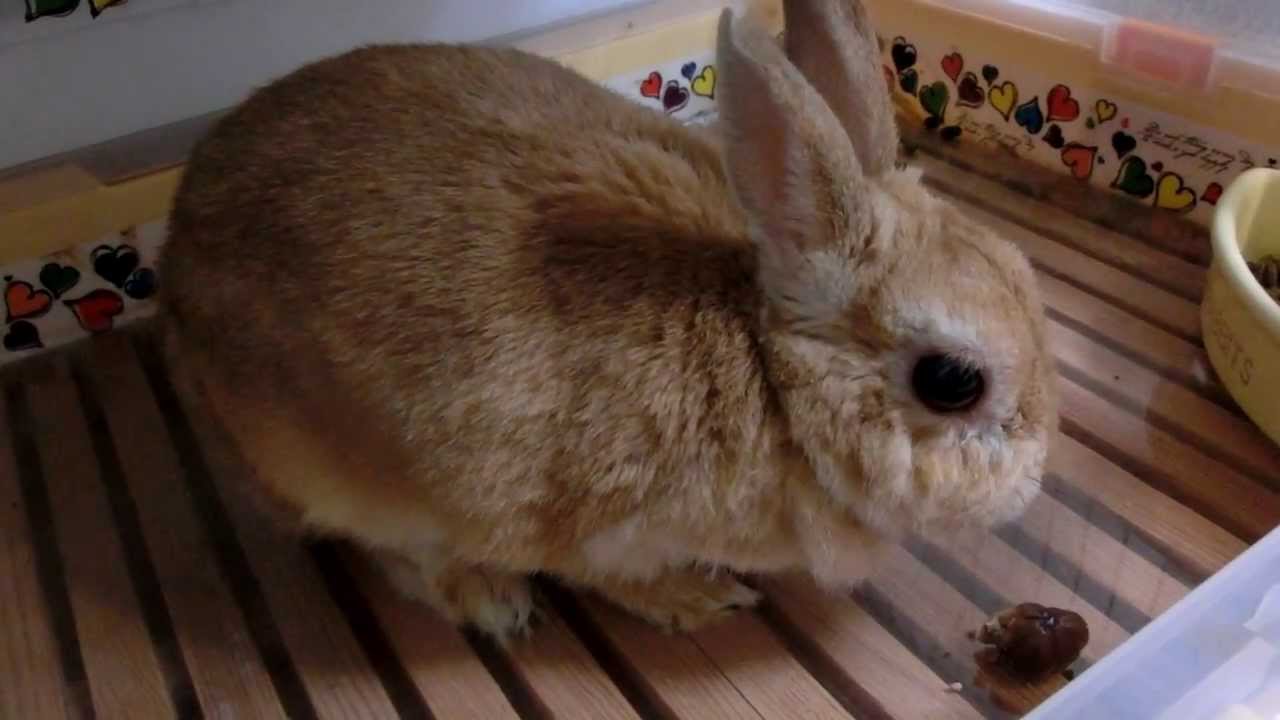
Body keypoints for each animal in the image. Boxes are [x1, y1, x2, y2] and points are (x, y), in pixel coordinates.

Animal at [157, 0, 1057, 641]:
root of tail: (173, 251)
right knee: (396, 550)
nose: (1033, 486)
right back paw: (491, 599)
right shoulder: (593, 526)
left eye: (1022, 273)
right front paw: (699, 600)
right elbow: (612, 575)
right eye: (952, 382)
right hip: (333, 470)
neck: (768, 373)